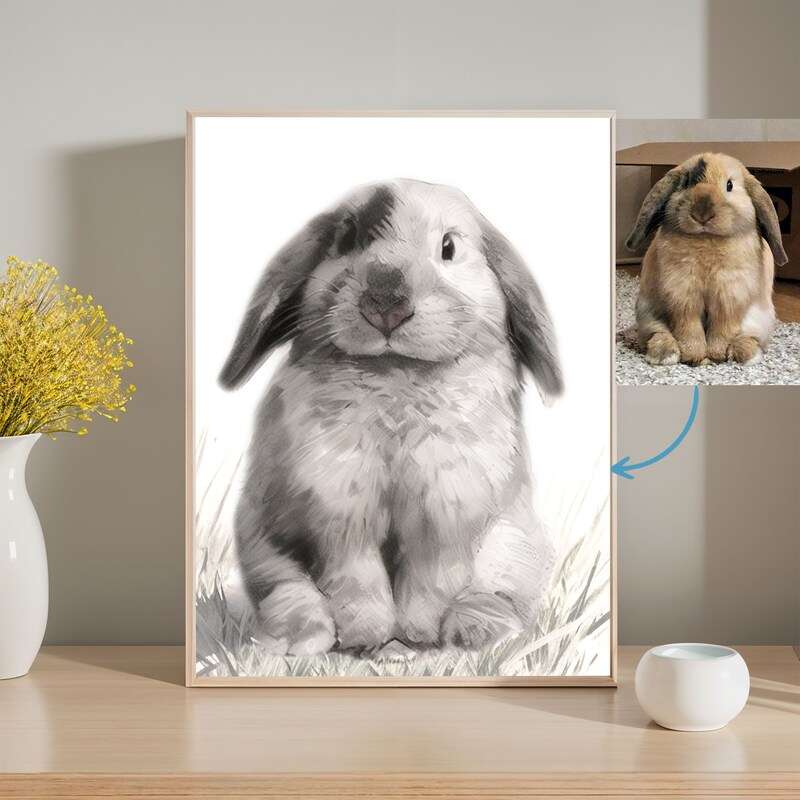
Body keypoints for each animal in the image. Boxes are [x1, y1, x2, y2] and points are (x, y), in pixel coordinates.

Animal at [219, 178, 562, 657]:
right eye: (347, 238)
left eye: (449, 247)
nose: (386, 302)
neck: (396, 378)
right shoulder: (339, 518)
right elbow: (357, 581)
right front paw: (368, 636)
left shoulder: (445, 515)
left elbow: (433, 581)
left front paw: (421, 633)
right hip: (262, 547)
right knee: (287, 594)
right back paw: (299, 640)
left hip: (519, 547)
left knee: (498, 593)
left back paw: (475, 632)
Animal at [626, 152, 788, 366]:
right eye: (686, 182)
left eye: (729, 185)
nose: (702, 213)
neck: (706, 238)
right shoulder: (683, 296)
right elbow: (689, 327)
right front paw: (694, 356)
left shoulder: (728, 297)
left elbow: (723, 327)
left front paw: (716, 355)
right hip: (646, 314)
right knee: (657, 333)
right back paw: (664, 354)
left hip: (761, 319)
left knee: (750, 337)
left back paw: (744, 354)